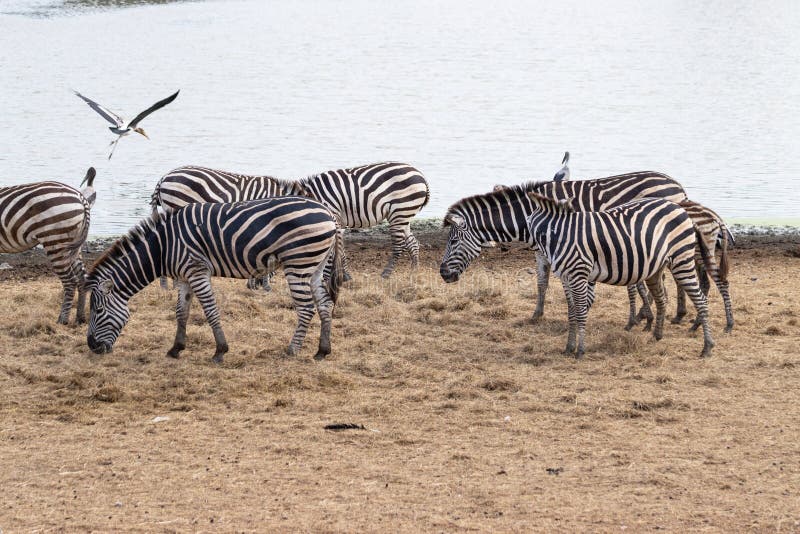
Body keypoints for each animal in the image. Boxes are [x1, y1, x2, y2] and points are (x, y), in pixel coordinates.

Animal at [0, 168, 96, 324]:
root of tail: (81, 197)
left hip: (55, 242)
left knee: (70, 282)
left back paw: (62, 321)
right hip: (74, 245)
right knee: (82, 279)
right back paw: (80, 318)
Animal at [86, 197, 345, 363]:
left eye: (97, 310)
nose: (92, 347)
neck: (163, 246)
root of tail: (329, 213)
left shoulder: (197, 270)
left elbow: (210, 310)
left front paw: (220, 351)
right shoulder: (184, 276)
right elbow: (181, 312)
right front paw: (176, 348)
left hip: (299, 263)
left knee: (306, 308)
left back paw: (292, 350)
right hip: (314, 266)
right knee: (324, 304)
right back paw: (322, 351)